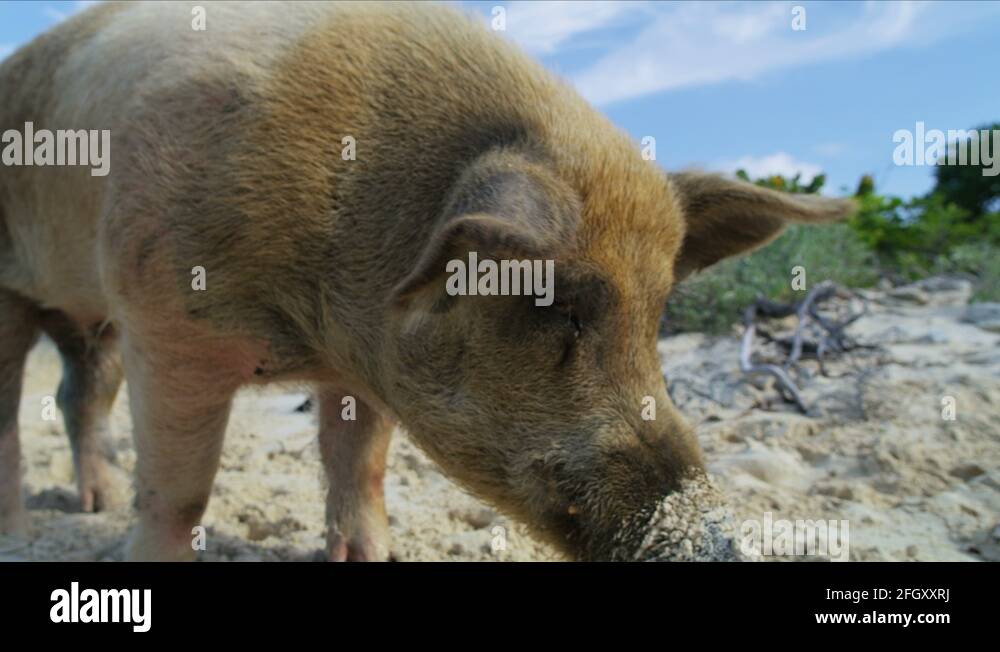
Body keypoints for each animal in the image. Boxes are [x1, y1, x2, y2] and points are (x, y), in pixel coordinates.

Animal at [0, 1, 853, 561]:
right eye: (554, 303)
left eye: (658, 312)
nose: (713, 541)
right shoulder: (166, 317)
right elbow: (181, 488)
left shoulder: (362, 366)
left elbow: (361, 465)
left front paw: (366, 557)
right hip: (19, 288)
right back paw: (25, 530)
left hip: (94, 321)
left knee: (80, 395)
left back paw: (94, 503)